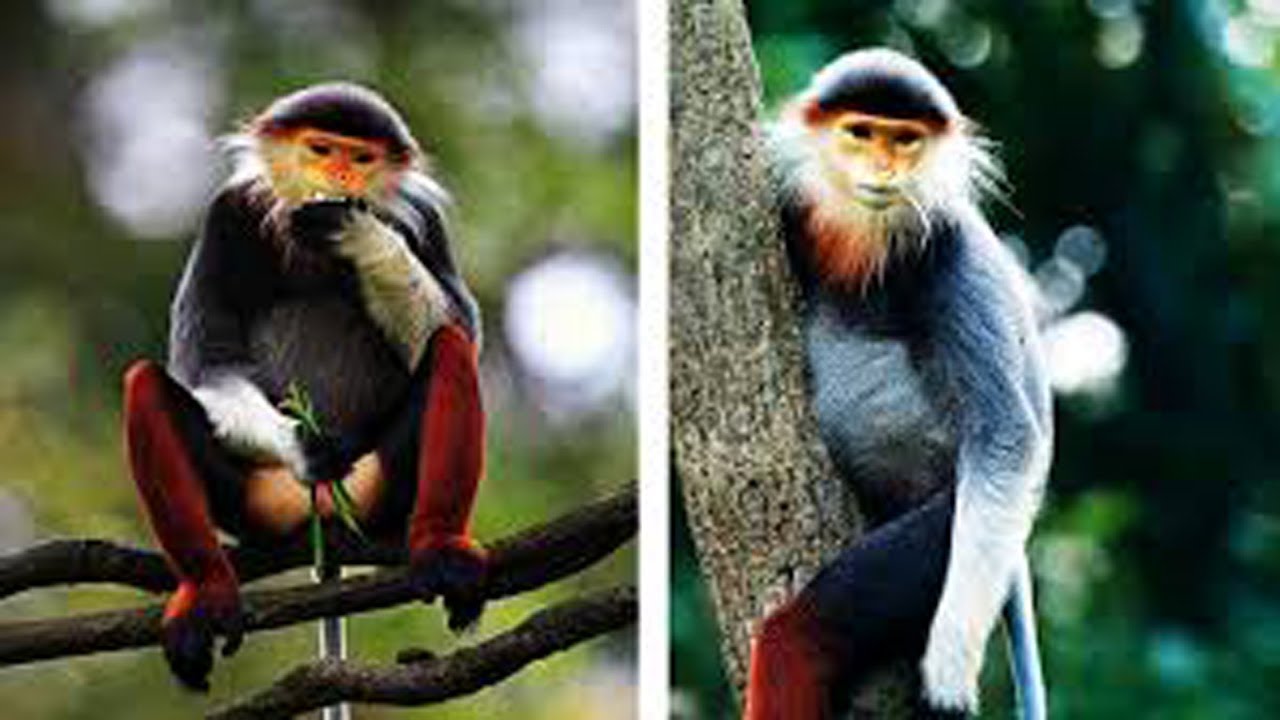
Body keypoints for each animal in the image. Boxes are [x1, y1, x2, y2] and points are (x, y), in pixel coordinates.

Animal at [122, 83, 486, 691]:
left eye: (360, 158)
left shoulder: (425, 220)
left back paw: (441, 550)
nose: (339, 176)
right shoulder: (225, 218)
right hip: (256, 501)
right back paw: (204, 594)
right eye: (321, 149)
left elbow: (462, 328)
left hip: (379, 489)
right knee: (144, 381)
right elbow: (209, 366)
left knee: (450, 346)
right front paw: (304, 444)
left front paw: (358, 234)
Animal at [742, 49, 1051, 719]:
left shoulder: (953, 256)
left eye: (905, 140)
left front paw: (951, 665)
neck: (866, 240)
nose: (885, 169)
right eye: (861, 133)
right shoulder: (797, 213)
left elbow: (1007, 437)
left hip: (948, 530)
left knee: (794, 635)